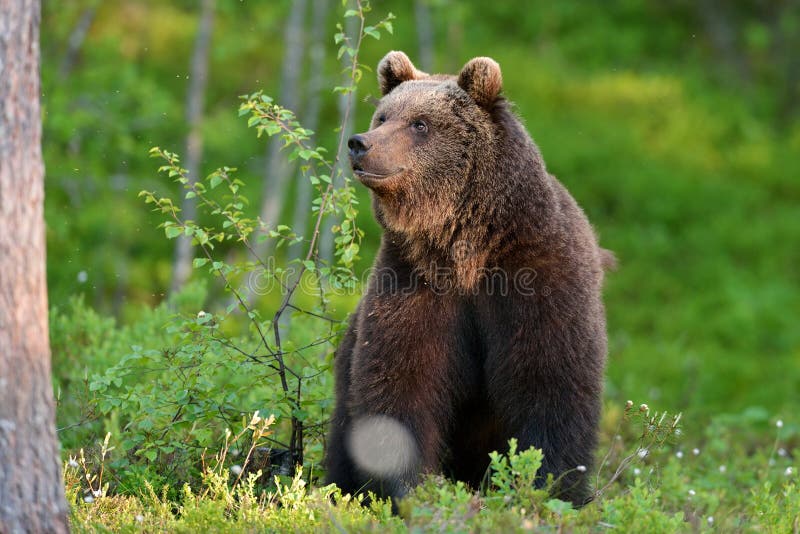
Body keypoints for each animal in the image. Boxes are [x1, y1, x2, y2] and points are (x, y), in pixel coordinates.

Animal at [325, 50, 612, 507]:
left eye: (420, 123)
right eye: (383, 116)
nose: (360, 144)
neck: (466, 249)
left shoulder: (539, 279)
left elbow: (552, 383)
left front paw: (549, 487)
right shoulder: (413, 283)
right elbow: (402, 384)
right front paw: (414, 488)